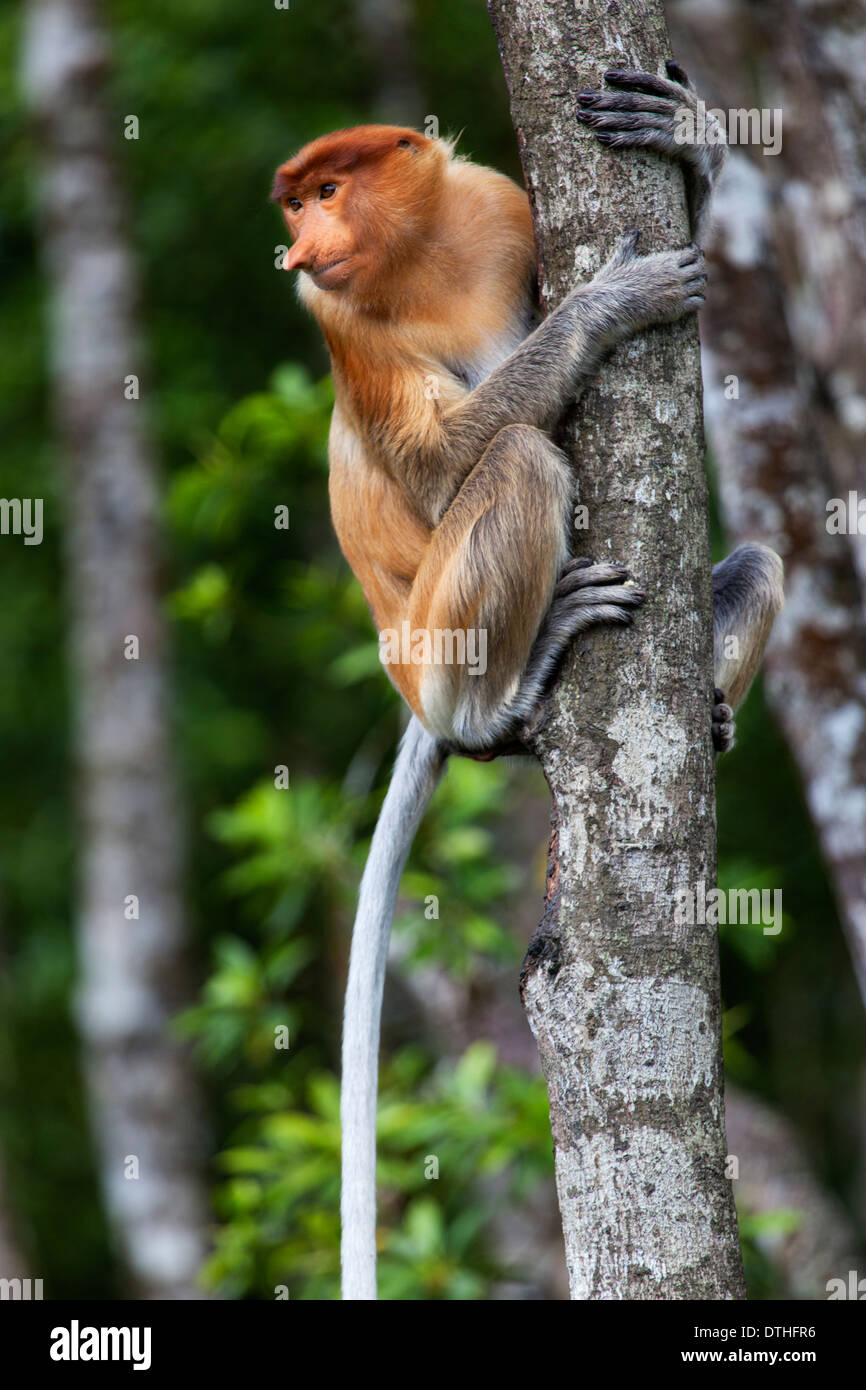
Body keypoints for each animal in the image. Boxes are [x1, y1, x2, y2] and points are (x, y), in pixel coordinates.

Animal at [271, 61, 783, 1300]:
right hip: (434, 643)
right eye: (296, 202)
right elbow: (445, 458)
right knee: (513, 457)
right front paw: (606, 305)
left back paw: (706, 714)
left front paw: (684, 142)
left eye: (326, 190)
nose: (298, 245)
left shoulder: (498, 209)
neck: (415, 256)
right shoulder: (334, 321)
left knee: (752, 559)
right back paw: (504, 703)